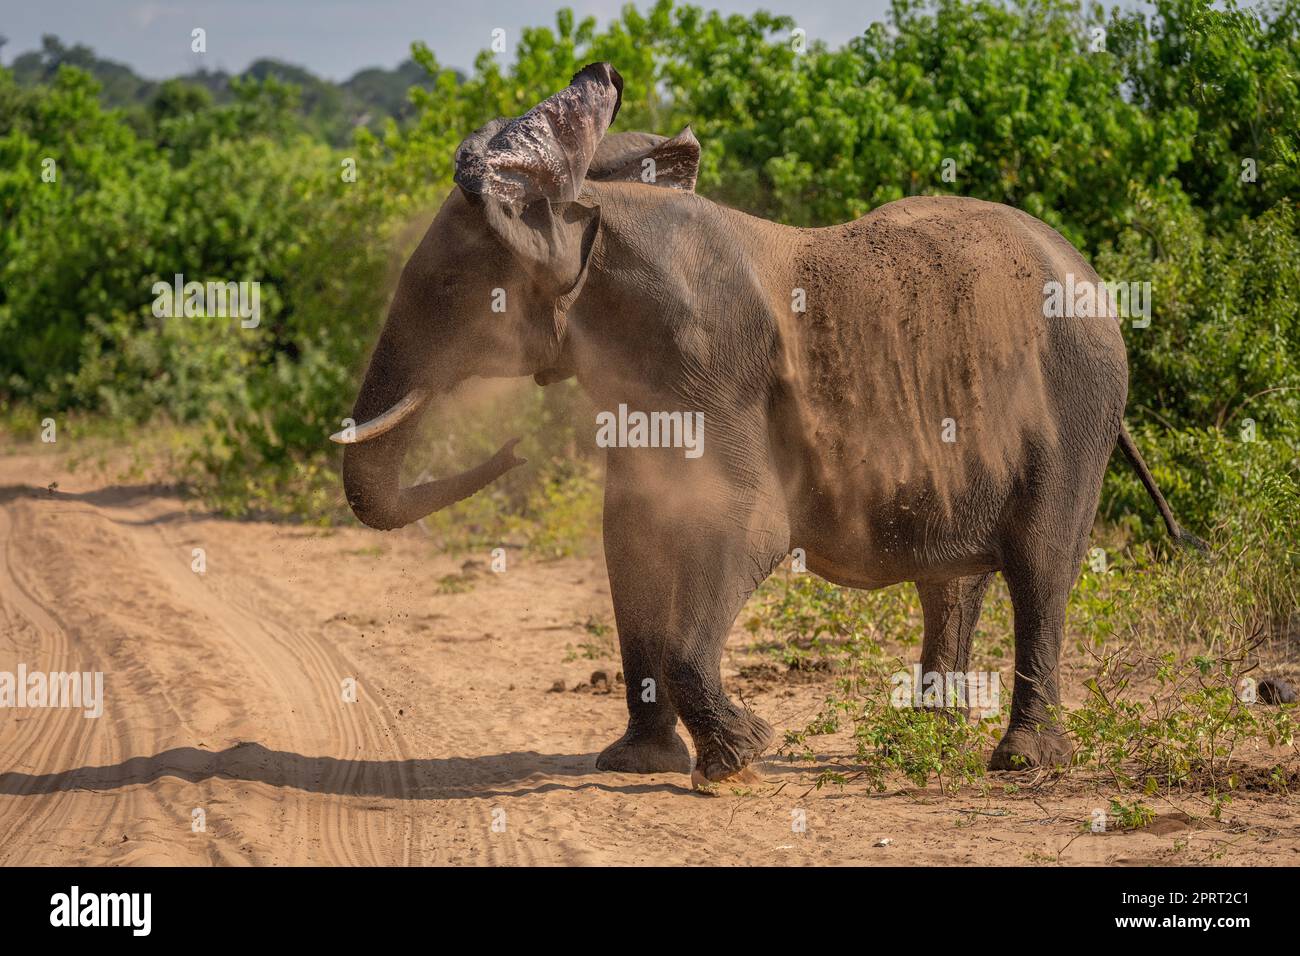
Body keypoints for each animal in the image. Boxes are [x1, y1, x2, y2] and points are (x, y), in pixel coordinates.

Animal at [333, 63, 1203, 786]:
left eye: (451, 288)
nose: (510, 449)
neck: (601, 216)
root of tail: (1094, 277)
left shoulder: (718, 370)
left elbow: (740, 528)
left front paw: (741, 758)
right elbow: (630, 537)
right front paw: (636, 765)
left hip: (1079, 406)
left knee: (1042, 566)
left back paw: (1020, 763)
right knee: (955, 583)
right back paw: (926, 740)